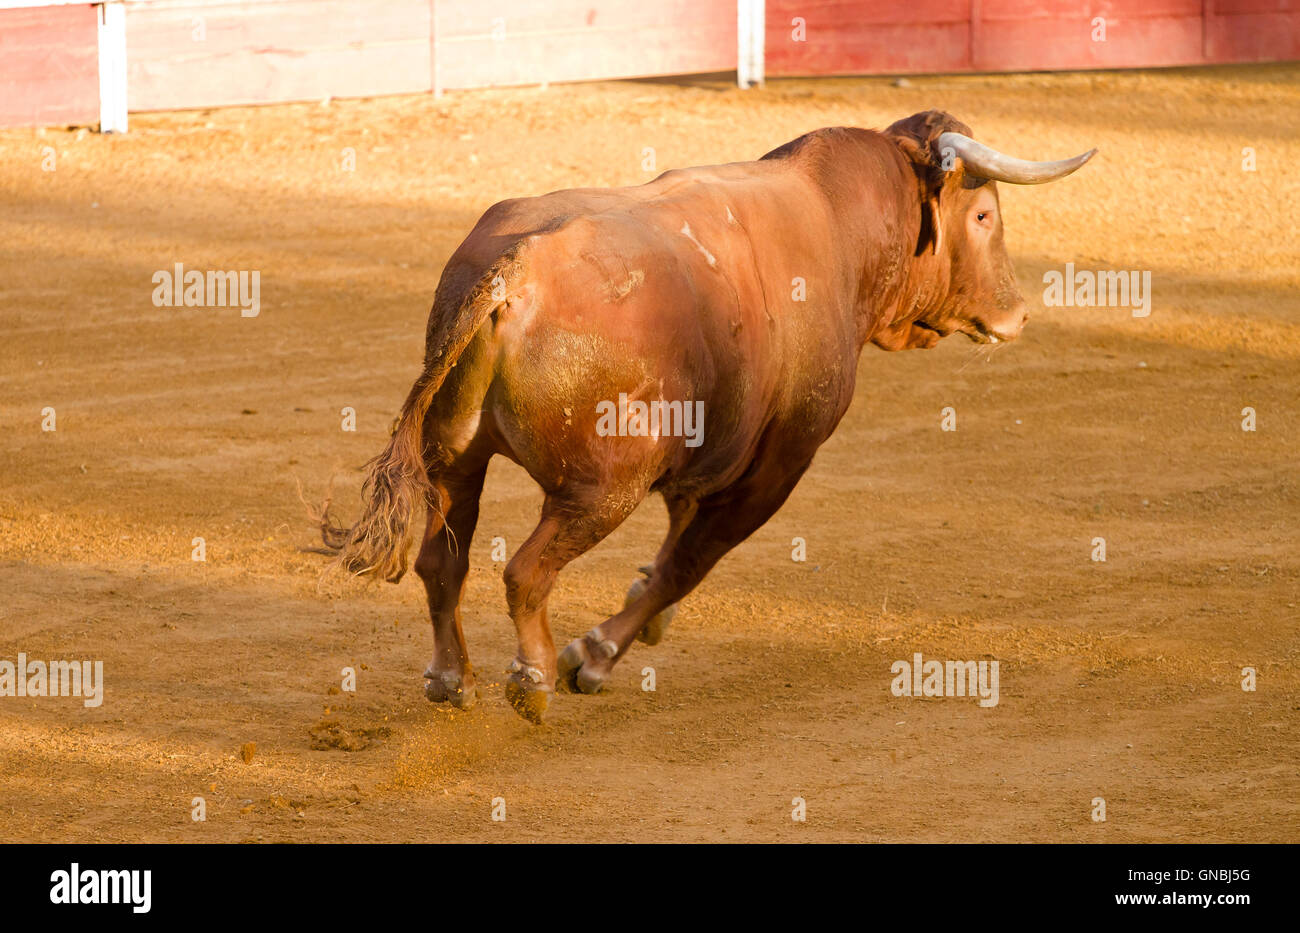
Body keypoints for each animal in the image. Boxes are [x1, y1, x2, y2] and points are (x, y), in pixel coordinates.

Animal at [318, 110, 1095, 723]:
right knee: (527, 571)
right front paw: (594, 655)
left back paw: (453, 679)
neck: (840, 229)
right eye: (985, 215)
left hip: (457, 460)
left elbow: (674, 547)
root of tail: (517, 270)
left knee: (441, 562)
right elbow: (690, 559)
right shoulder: (778, 463)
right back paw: (534, 678)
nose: (1018, 313)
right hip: (601, 489)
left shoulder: (709, 453)